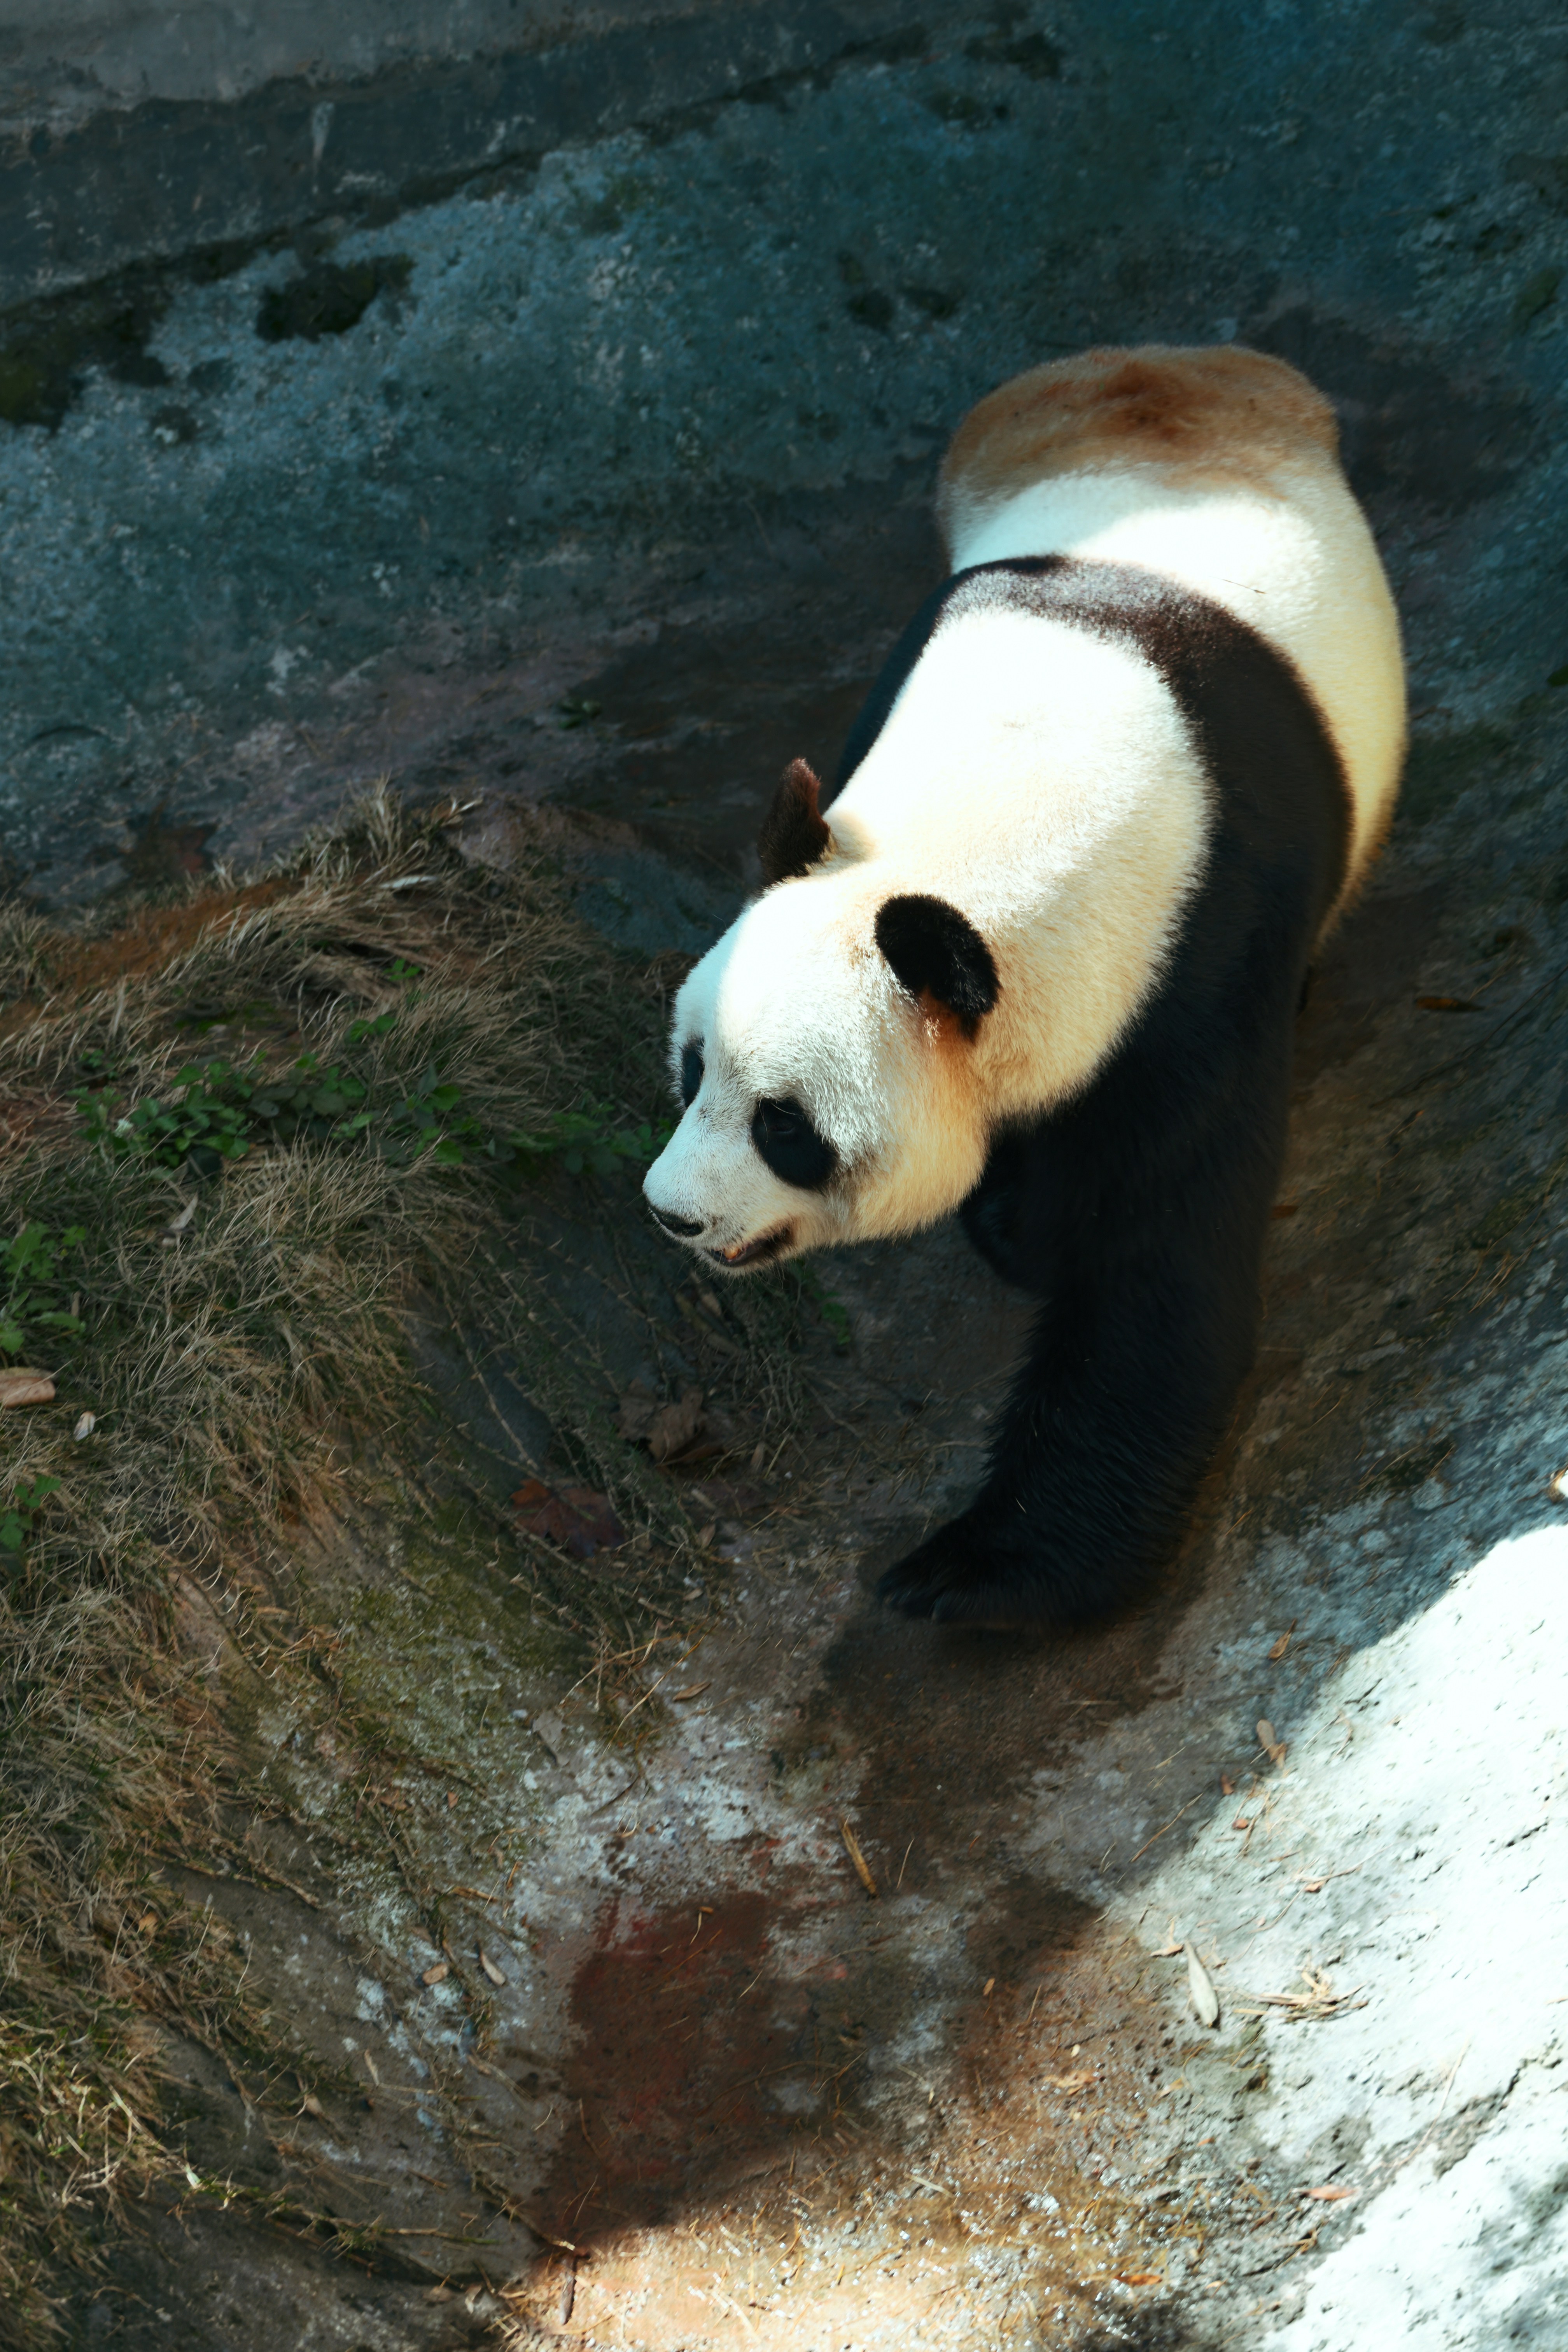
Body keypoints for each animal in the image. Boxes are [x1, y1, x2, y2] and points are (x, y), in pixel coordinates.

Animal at [642, 343, 1405, 1626]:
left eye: (787, 1128)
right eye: (692, 1071)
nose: (673, 1213)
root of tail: (1210, 369)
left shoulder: (1199, 958)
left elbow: (1154, 1276)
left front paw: (970, 1575)